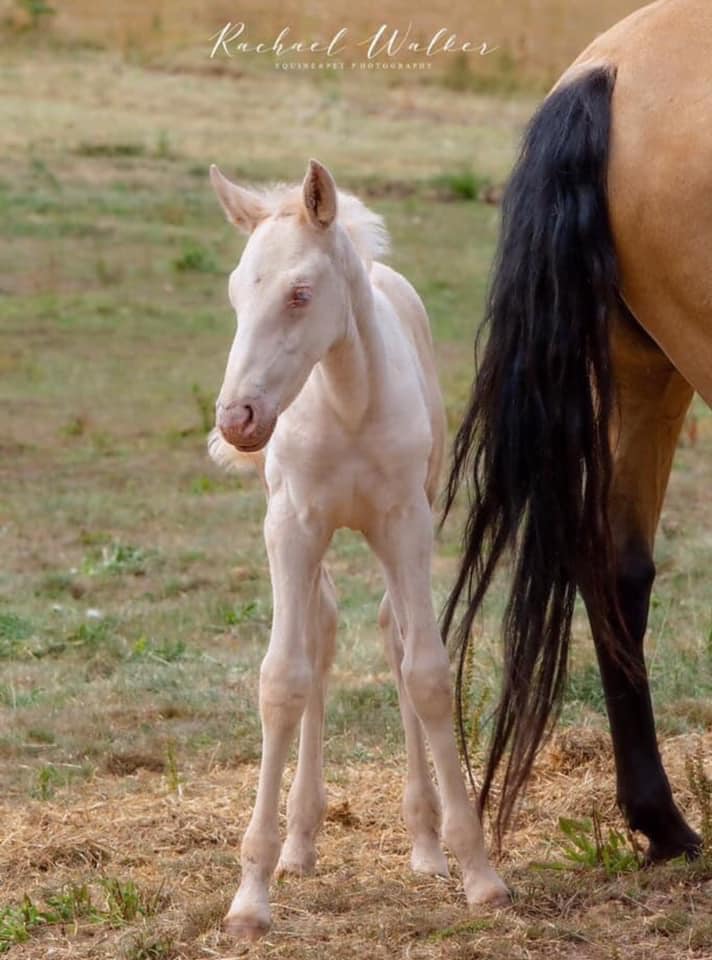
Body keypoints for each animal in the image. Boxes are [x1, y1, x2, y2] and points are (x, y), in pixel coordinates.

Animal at [207, 159, 509, 939]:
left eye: (300, 293)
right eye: (234, 293)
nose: (238, 419)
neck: (346, 401)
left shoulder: (406, 523)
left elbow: (427, 673)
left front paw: (479, 873)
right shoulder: (290, 524)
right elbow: (283, 680)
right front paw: (250, 896)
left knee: (391, 635)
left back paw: (426, 844)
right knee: (322, 631)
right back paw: (301, 843)